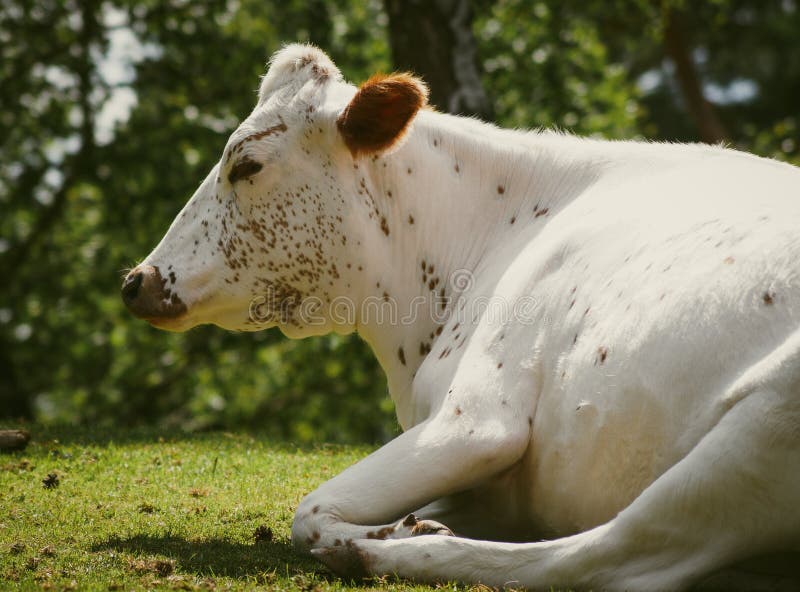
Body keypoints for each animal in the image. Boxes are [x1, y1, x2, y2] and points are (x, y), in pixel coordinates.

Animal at [122, 44, 800, 590]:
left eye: (246, 166)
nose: (137, 281)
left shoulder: (475, 422)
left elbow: (310, 512)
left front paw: (384, 534)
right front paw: (411, 522)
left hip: (757, 429)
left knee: (599, 558)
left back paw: (377, 555)